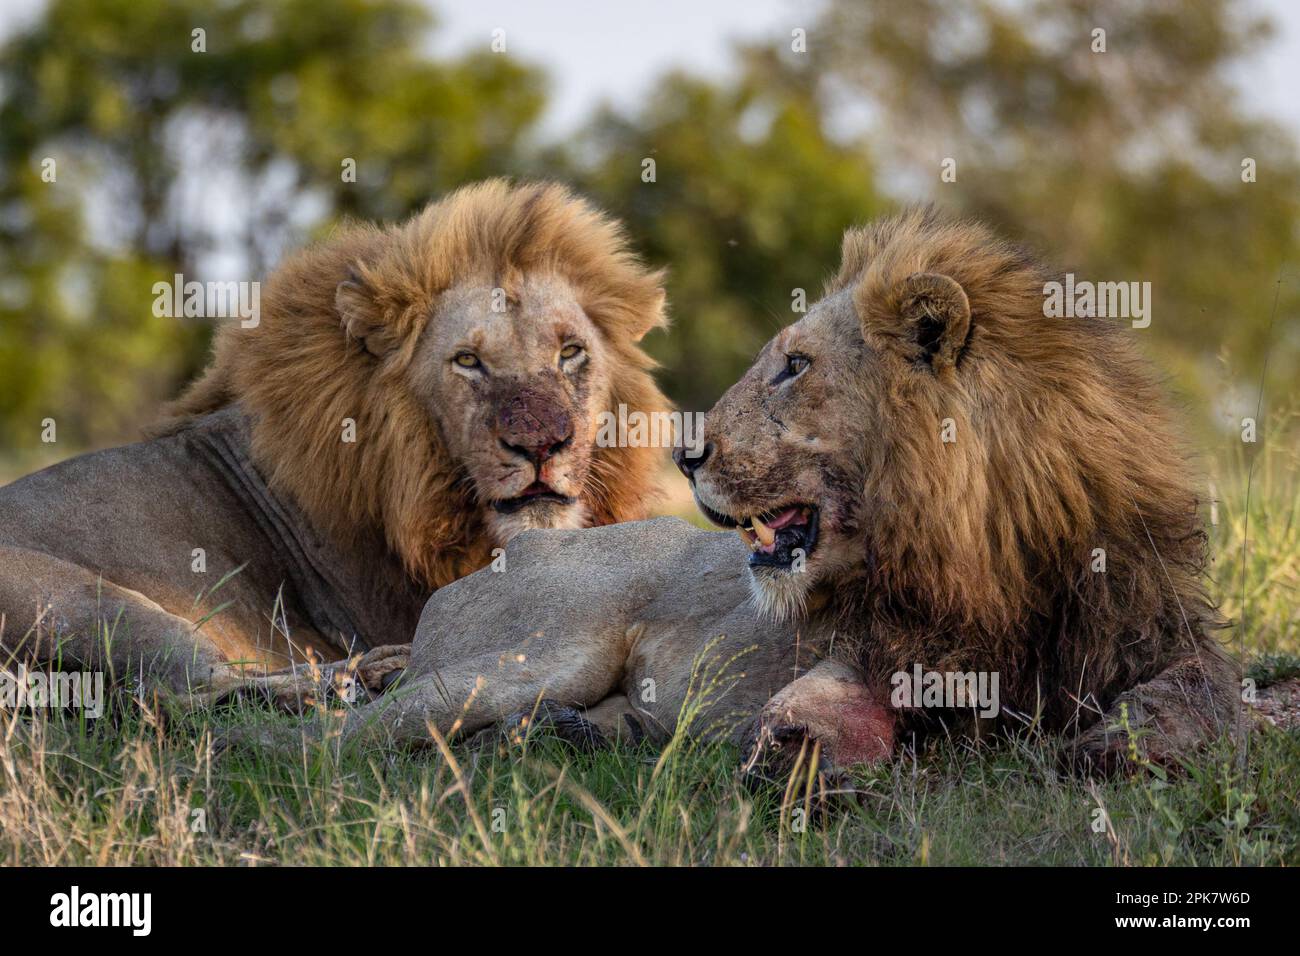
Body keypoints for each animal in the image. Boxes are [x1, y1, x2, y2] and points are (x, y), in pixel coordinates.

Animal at [0, 180, 670, 707]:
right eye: (468, 361)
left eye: (570, 352)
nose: (541, 446)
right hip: (85, 600)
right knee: (191, 691)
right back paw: (370, 672)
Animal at [284, 208, 1239, 778]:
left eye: (795, 366)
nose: (686, 453)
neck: (991, 544)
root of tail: (503, 555)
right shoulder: (879, 640)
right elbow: (837, 692)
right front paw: (800, 742)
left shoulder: (1147, 623)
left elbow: (1205, 692)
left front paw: (1123, 747)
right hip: (542, 652)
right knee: (339, 735)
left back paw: (570, 735)